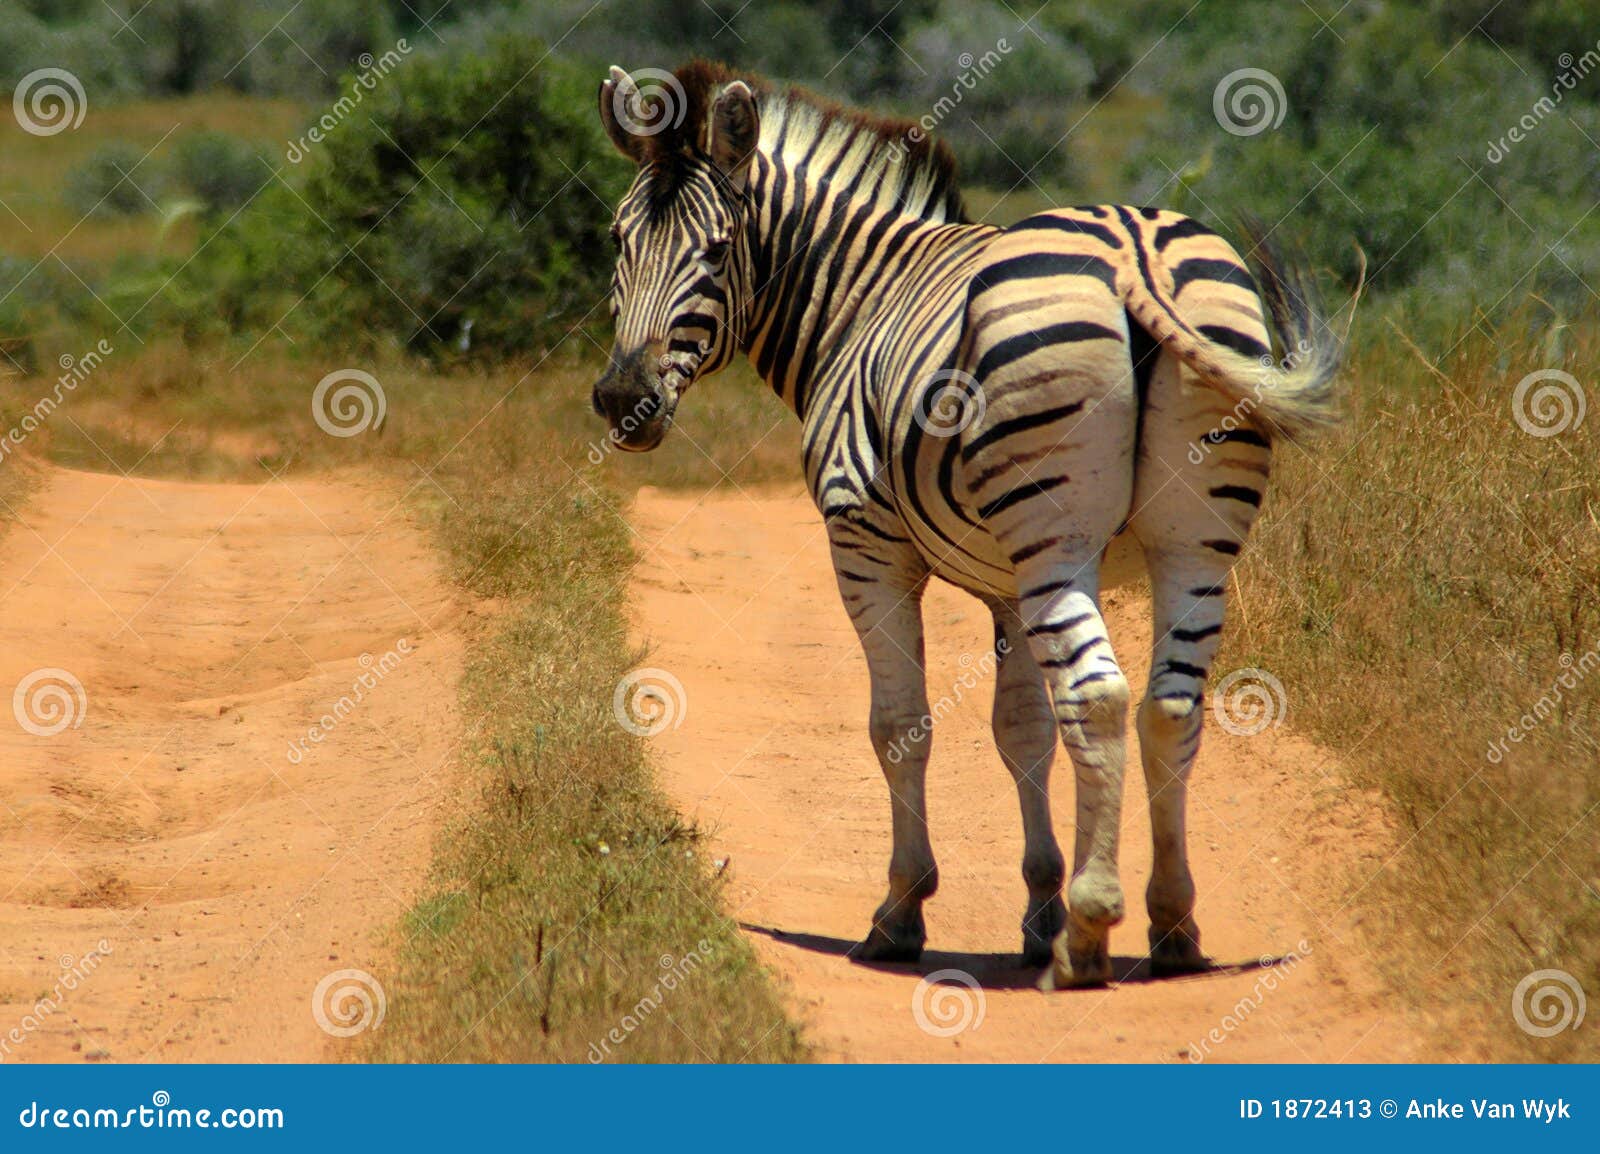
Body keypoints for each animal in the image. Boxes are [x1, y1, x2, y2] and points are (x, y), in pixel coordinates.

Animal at [591, 62, 1340, 988]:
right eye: (617, 240)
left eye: (719, 250)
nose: (623, 402)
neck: (861, 298)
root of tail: (1134, 249)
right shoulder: (1007, 584)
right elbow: (1023, 731)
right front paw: (1037, 909)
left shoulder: (866, 543)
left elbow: (900, 726)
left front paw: (904, 911)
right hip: (1192, 545)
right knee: (1168, 707)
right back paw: (1170, 925)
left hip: (1058, 538)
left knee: (1098, 698)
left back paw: (1093, 929)